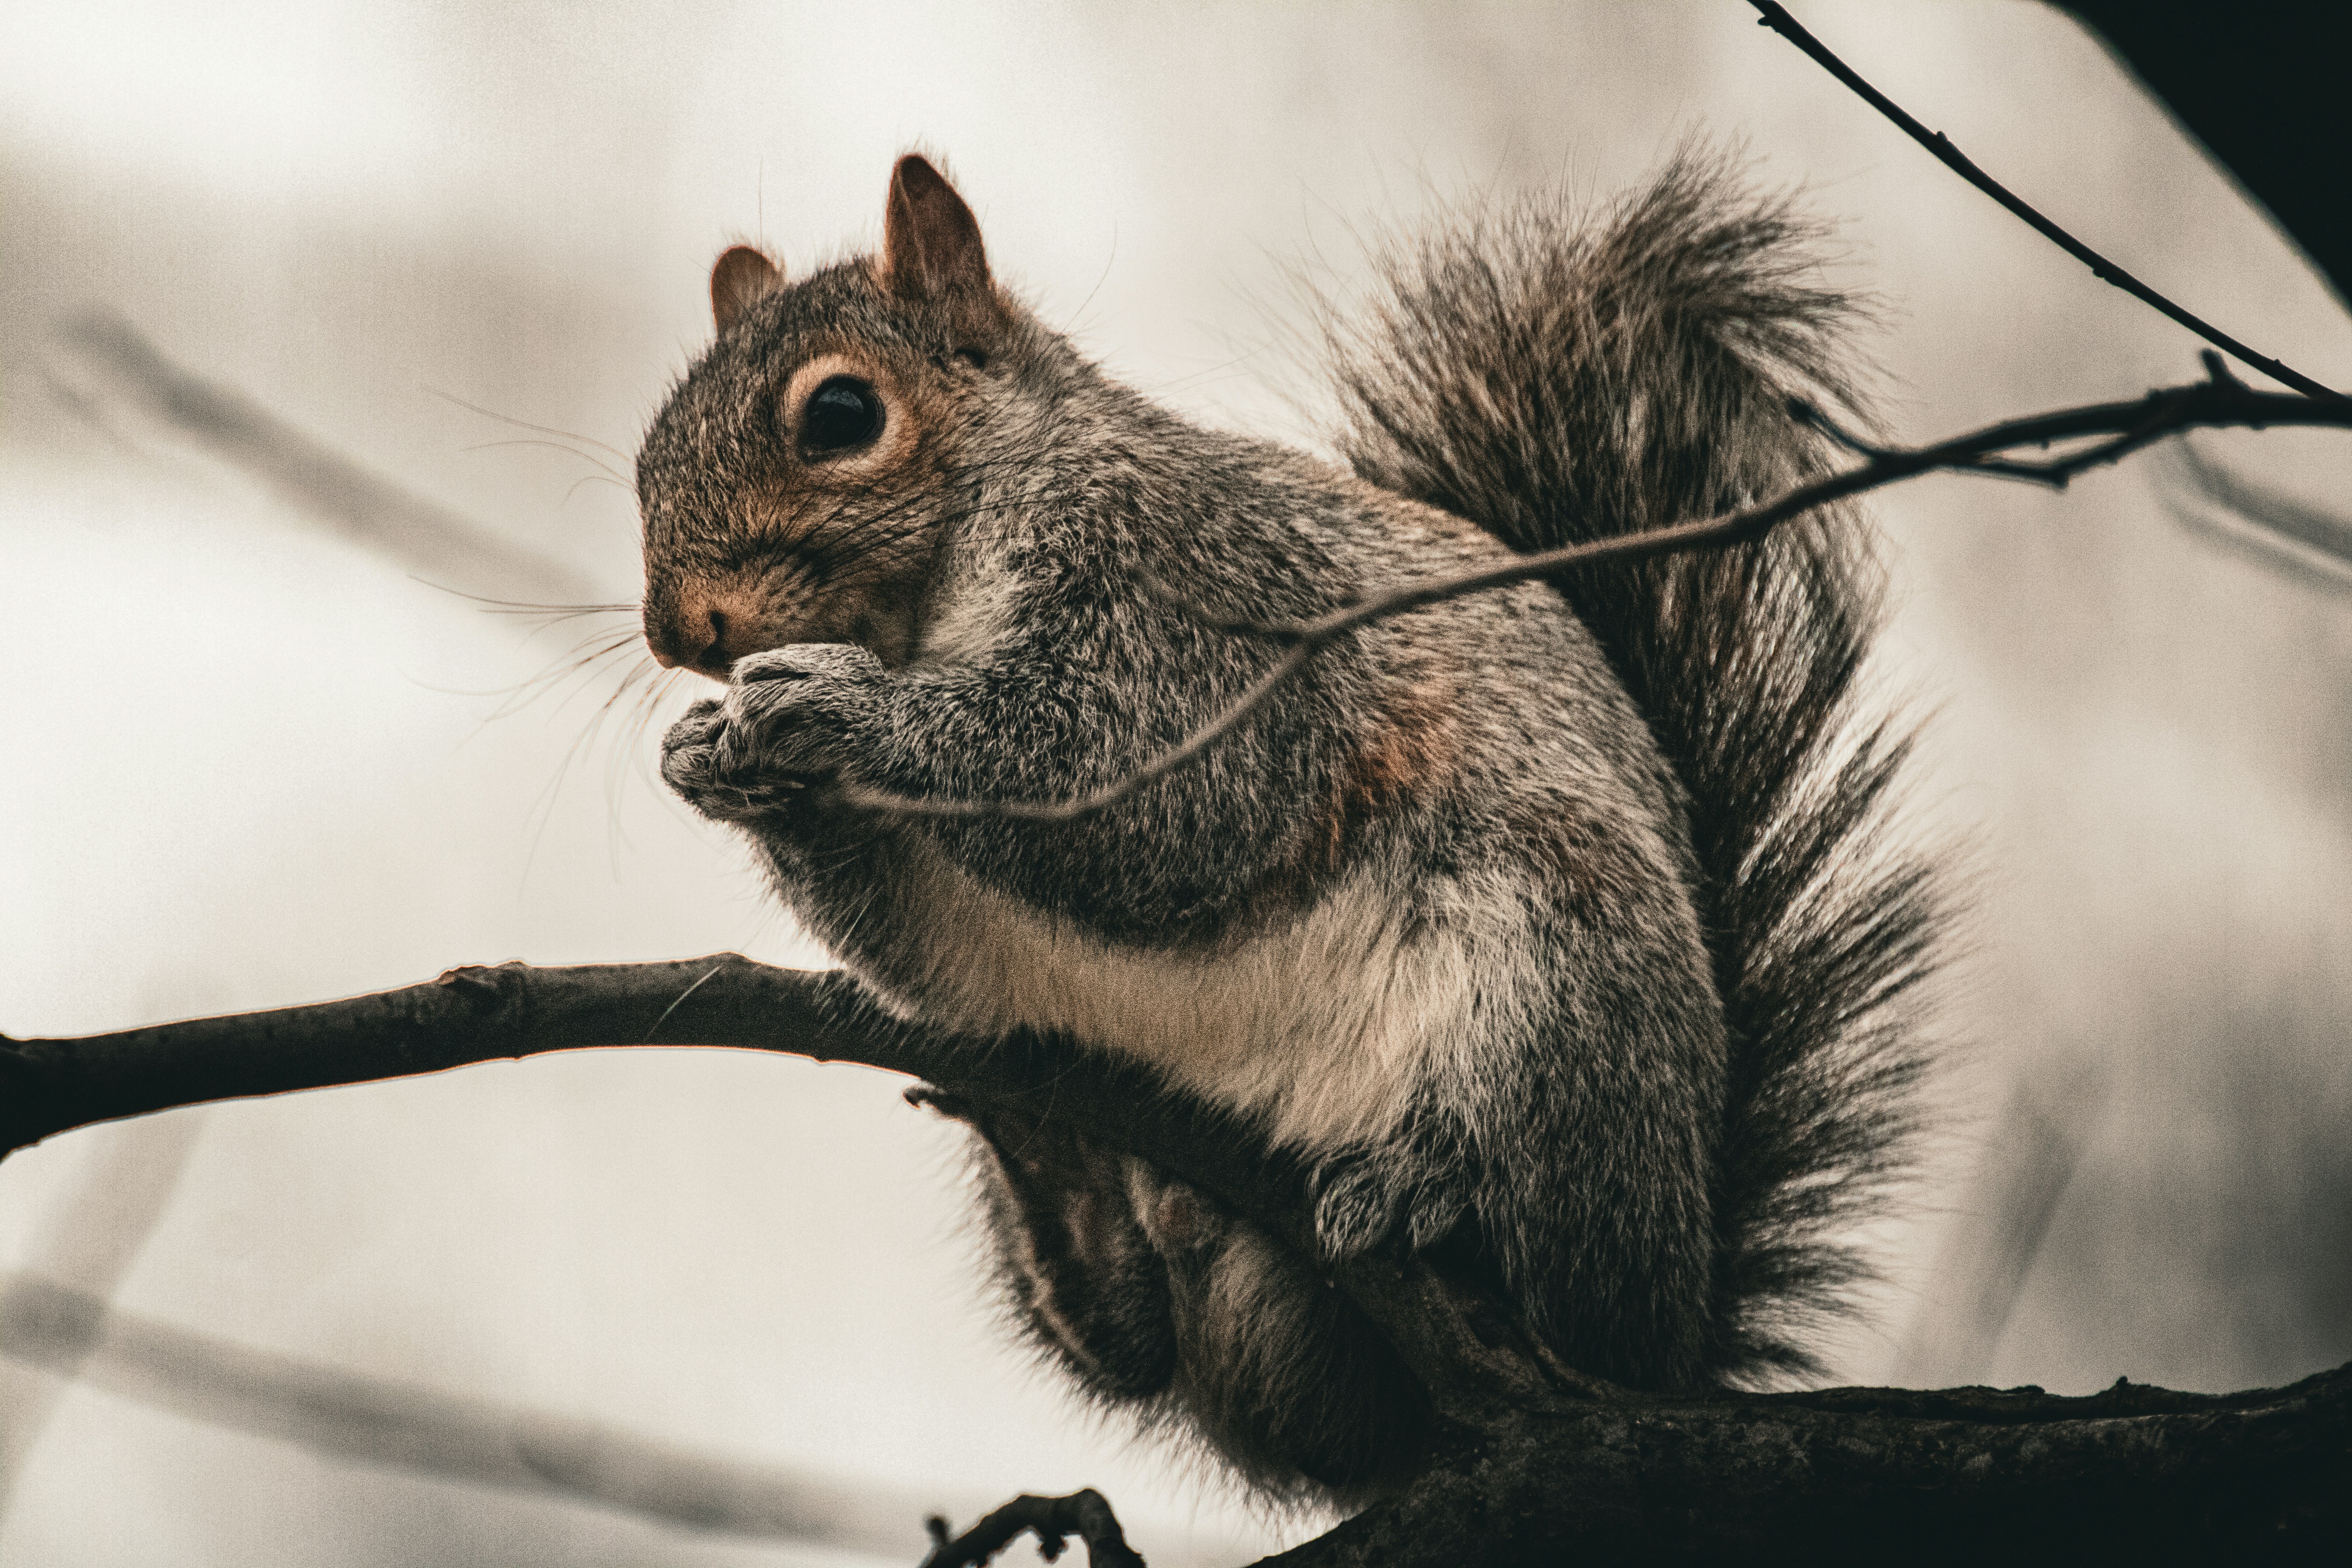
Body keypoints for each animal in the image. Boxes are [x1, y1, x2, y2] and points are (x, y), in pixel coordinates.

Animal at [638, 148, 1940, 1508]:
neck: (936, 595)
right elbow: (928, 945)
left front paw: (836, 704)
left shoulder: (1207, 616)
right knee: (1139, 1346)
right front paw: (713, 761)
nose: (678, 631)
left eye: (841, 415)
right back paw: (1056, 1169)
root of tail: (1677, 1340)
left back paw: (1433, 1191)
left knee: (1561, 1279)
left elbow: (1142, 796)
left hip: (1567, 965)